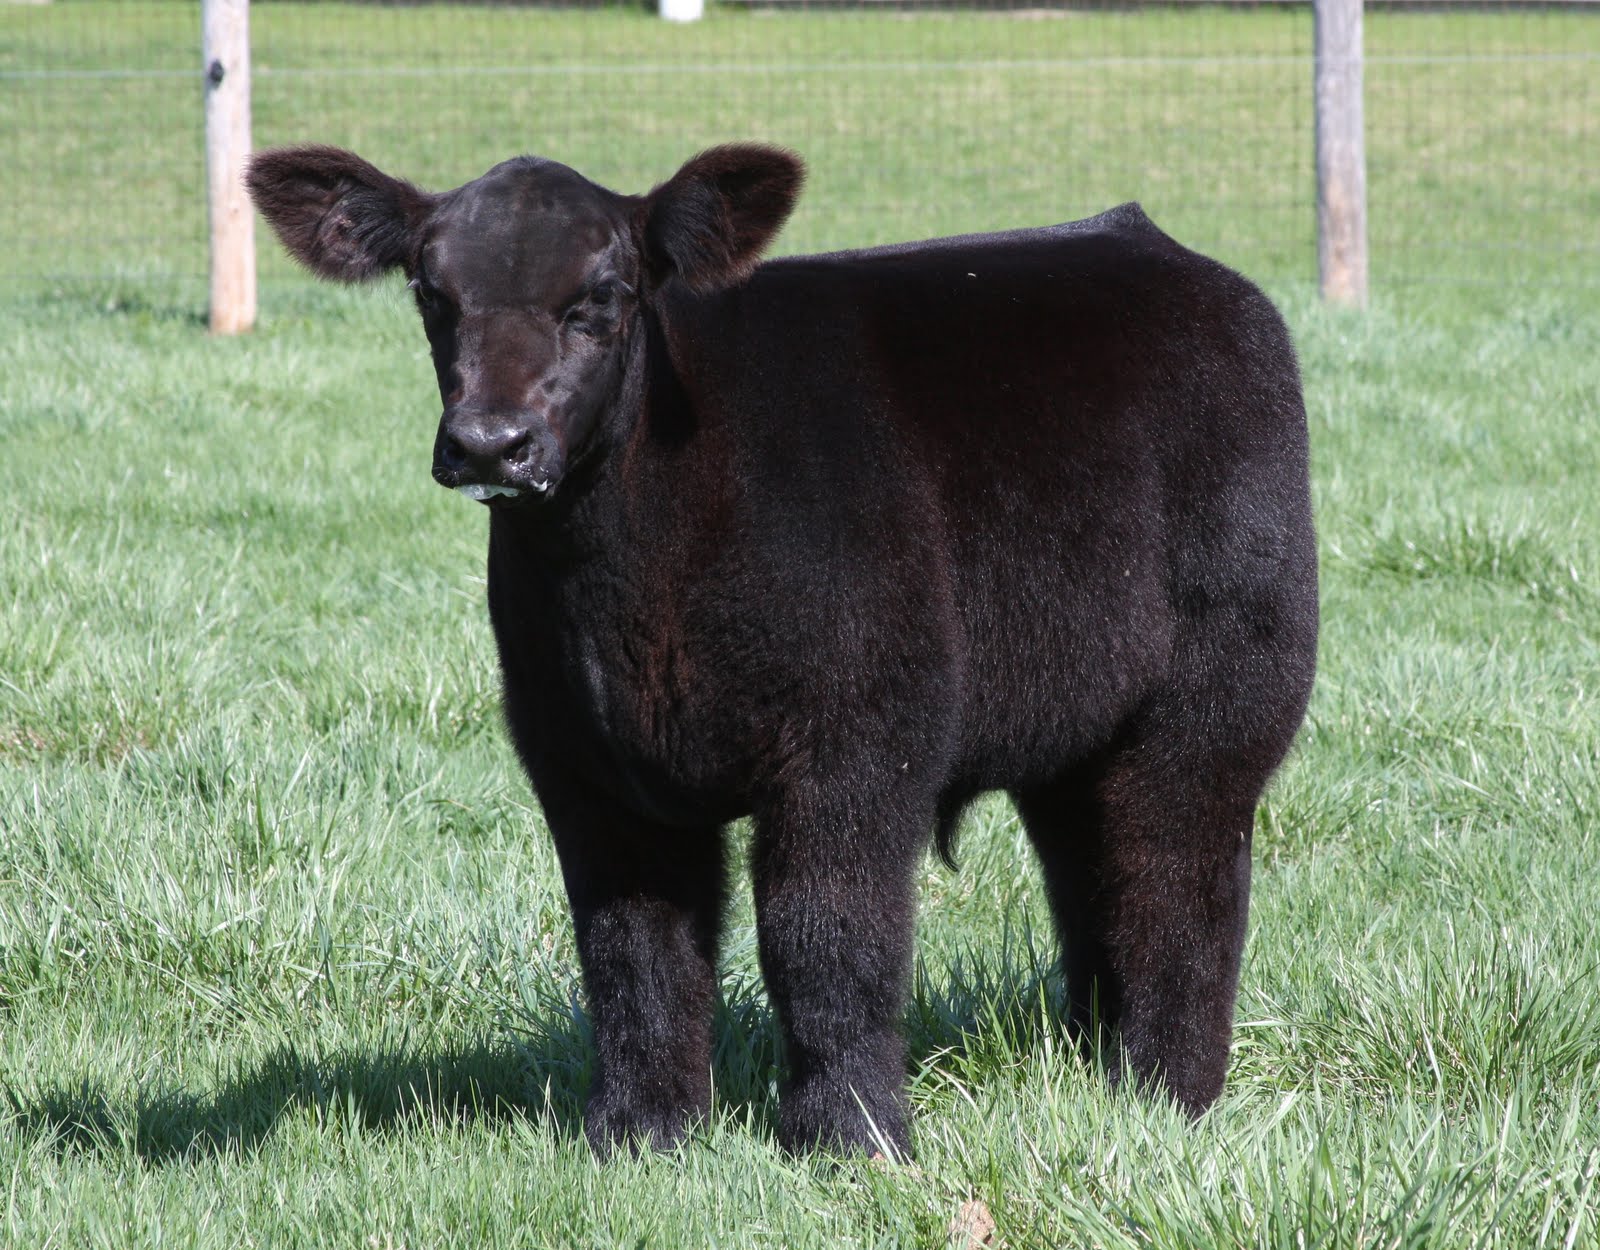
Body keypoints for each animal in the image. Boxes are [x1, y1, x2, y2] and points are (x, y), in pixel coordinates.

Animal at [247, 142, 1318, 1159]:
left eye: (602, 295)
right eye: (432, 294)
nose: (489, 443)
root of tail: (1152, 246)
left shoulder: (854, 741)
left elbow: (825, 937)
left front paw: (852, 1136)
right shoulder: (580, 763)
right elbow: (632, 951)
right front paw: (639, 1134)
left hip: (1219, 697)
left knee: (1176, 873)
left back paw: (1168, 1094)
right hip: (1070, 723)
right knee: (1089, 871)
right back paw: (1099, 1066)